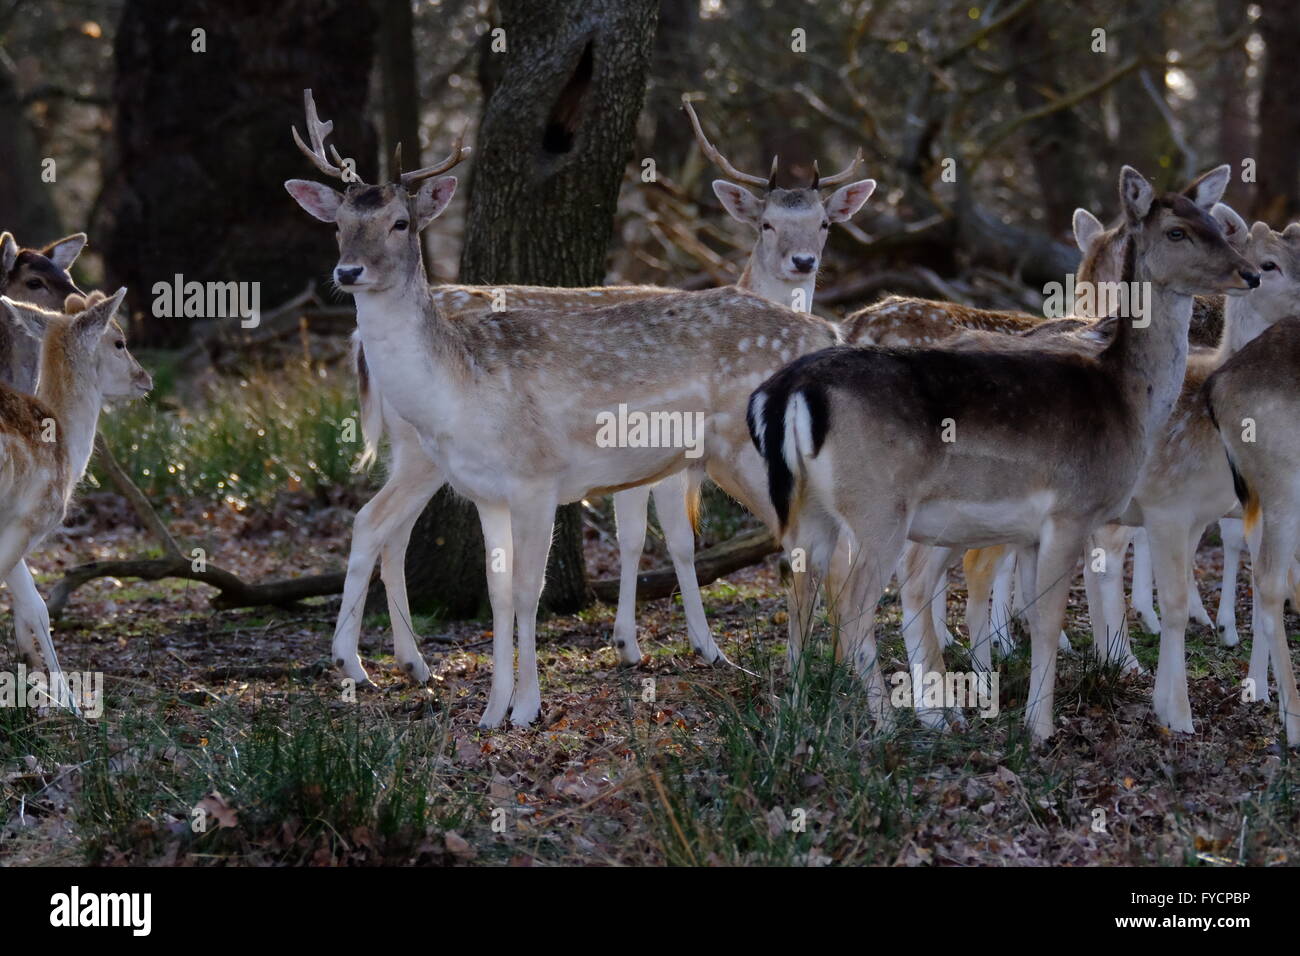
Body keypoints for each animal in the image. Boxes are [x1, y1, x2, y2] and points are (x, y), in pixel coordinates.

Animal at [0, 289, 152, 708]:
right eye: (119, 341)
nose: (145, 378)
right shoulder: (34, 516)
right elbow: (37, 608)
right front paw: (70, 703)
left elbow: (32, 605)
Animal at [284, 90, 865, 728]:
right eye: (339, 225)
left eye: (400, 222)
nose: (348, 272)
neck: (461, 387)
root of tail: (827, 330)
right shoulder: (488, 491)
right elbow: (498, 591)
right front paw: (492, 711)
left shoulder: (539, 479)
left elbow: (530, 590)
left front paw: (527, 709)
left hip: (748, 454)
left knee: (817, 545)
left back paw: (806, 678)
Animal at [748, 165, 1258, 740]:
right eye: (1177, 231)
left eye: (1212, 223)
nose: (1248, 273)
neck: (1126, 398)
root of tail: (787, 389)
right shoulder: (1071, 510)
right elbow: (1051, 616)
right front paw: (1041, 727)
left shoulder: (1032, 530)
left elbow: (1034, 613)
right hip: (878, 508)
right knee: (853, 604)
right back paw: (889, 723)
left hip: (810, 507)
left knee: (802, 585)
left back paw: (797, 712)